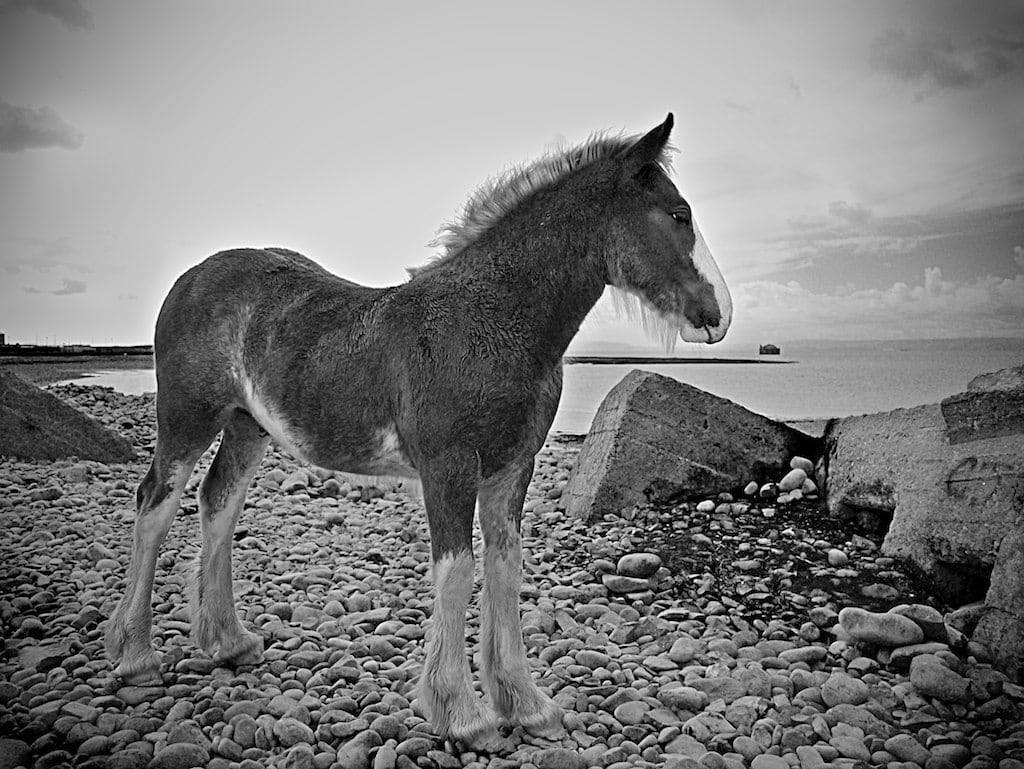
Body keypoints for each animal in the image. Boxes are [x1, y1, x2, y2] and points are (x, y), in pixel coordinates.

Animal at [104, 113, 732, 749]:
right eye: (678, 213)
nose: (719, 315)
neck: (491, 319)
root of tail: (192, 276)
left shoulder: (512, 467)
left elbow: (505, 568)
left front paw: (527, 705)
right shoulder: (447, 467)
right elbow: (456, 572)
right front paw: (462, 714)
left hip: (247, 426)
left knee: (218, 503)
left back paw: (228, 641)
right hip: (187, 416)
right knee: (155, 504)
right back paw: (135, 654)